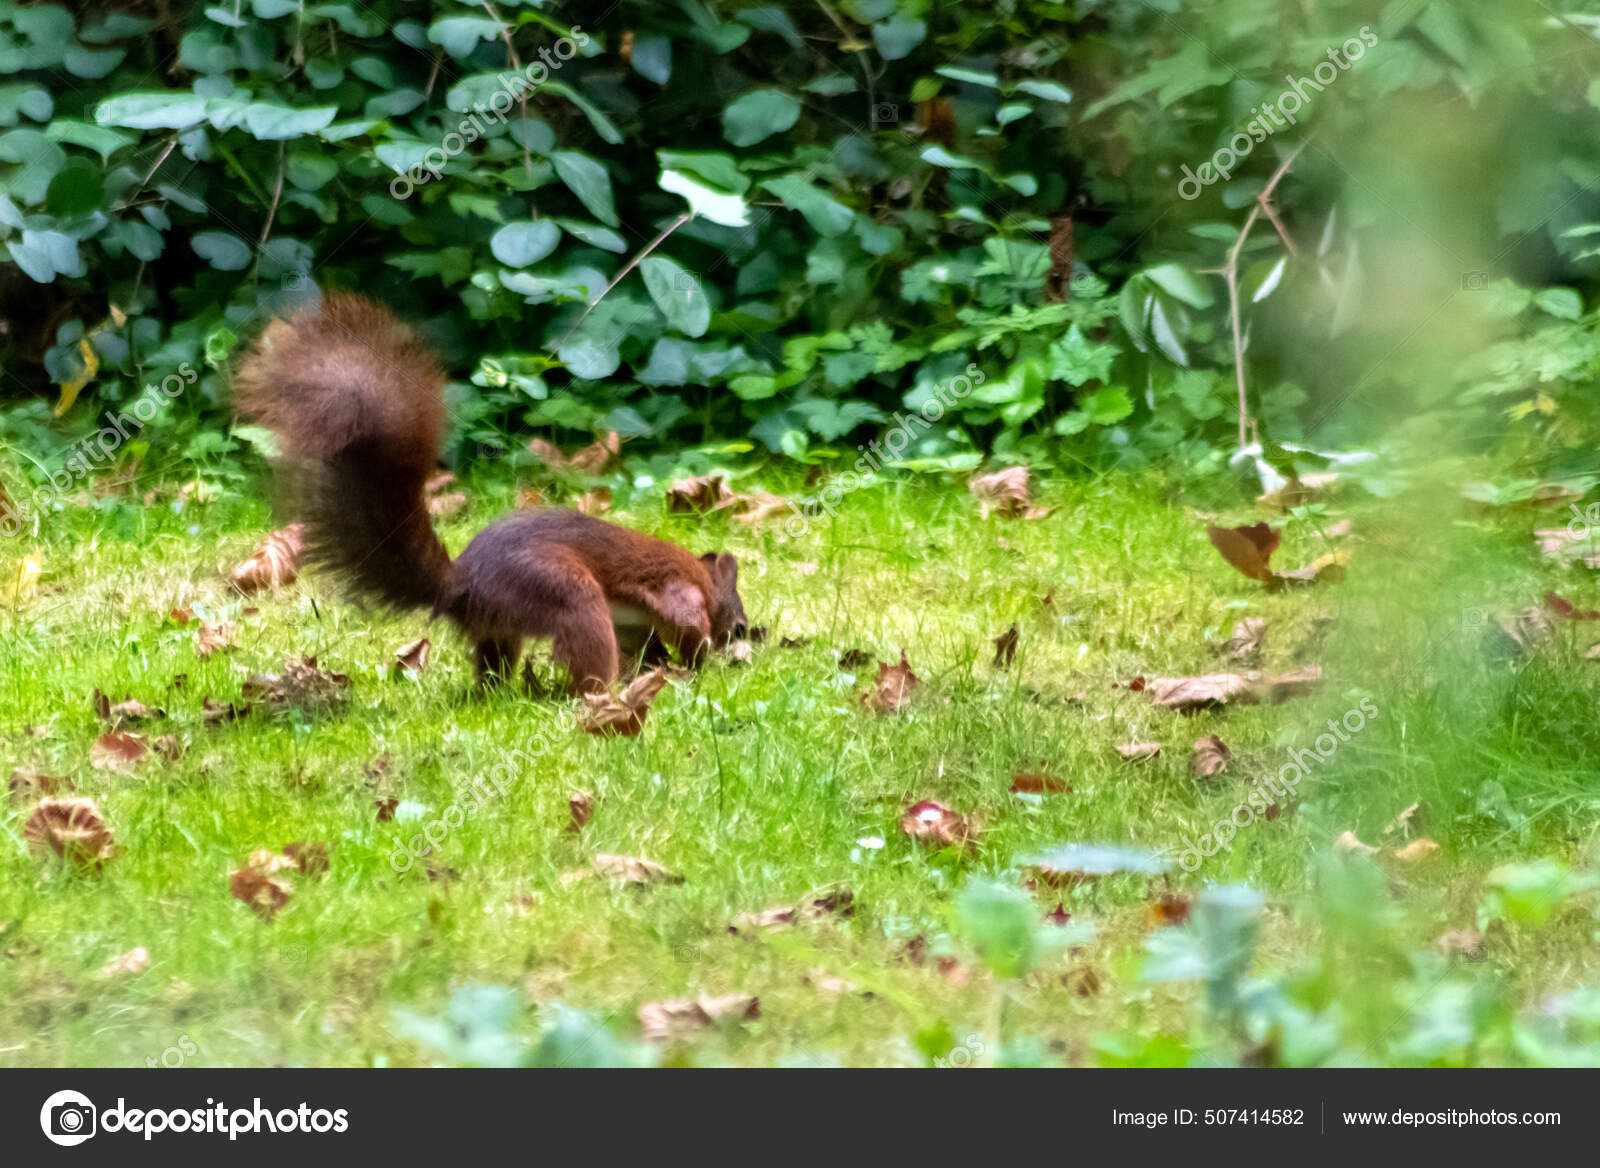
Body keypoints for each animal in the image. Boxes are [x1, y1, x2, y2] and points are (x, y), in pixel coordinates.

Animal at [234, 293, 748, 693]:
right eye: (738, 622)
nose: (745, 643)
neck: (700, 579)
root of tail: (466, 589)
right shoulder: (674, 590)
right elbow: (687, 625)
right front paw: (697, 665)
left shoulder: (637, 624)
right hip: (565, 593)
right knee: (585, 654)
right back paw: (599, 693)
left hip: (502, 630)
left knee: (494, 663)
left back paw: (498, 693)